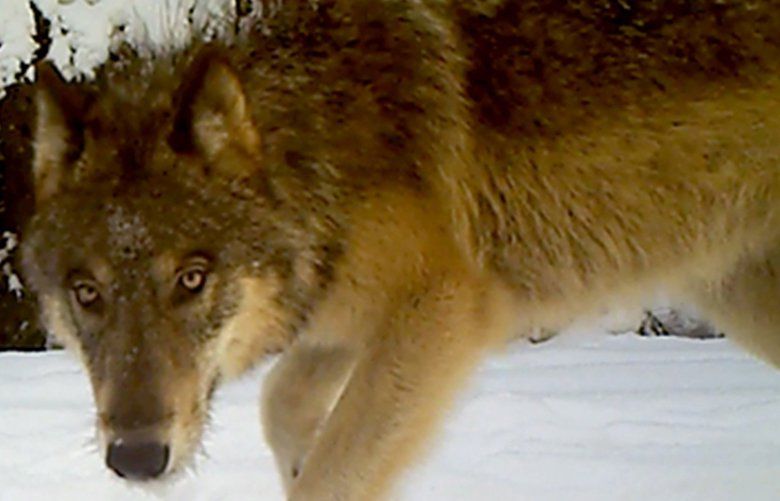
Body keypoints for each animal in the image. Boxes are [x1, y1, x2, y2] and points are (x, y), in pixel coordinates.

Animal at [18, 1, 780, 499]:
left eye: (192, 278)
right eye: (87, 293)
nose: (136, 458)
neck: (322, 147)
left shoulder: (439, 306)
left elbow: (333, 470)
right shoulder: (346, 316)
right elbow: (281, 403)